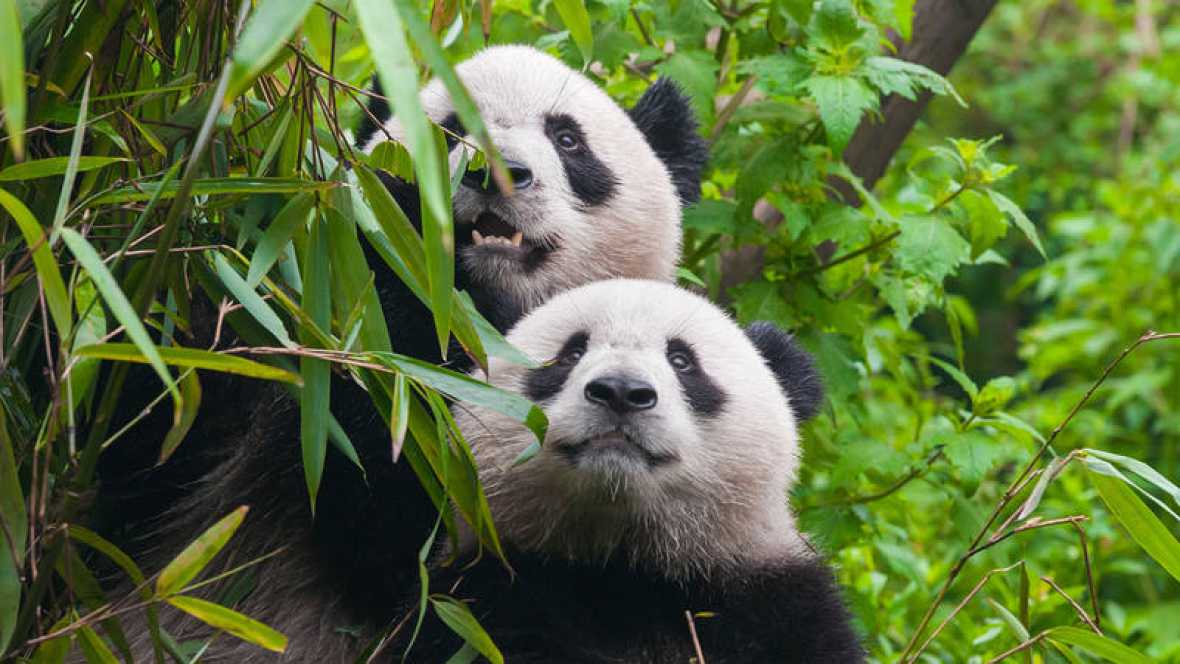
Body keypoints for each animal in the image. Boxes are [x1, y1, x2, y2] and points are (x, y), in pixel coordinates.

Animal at [395, 279, 864, 662]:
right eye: (571, 353)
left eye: (682, 360)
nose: (620, 391)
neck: (627, 563)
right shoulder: (479, 596)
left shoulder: (778, 608)